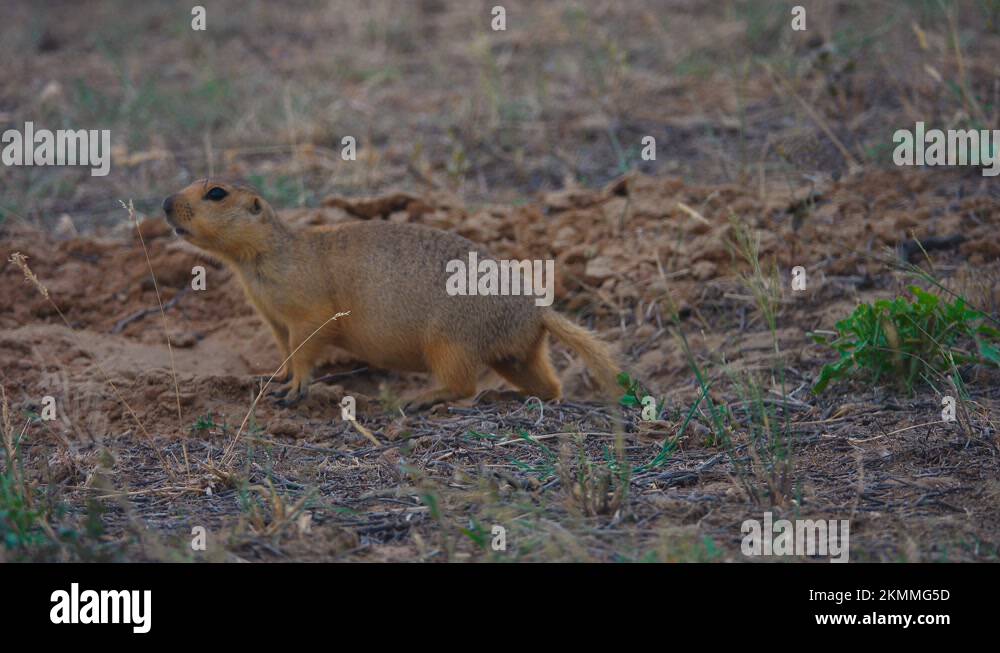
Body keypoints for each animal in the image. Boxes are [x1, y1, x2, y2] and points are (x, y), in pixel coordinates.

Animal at [162, 179, 620, 410]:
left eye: (216, 193)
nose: (165, 202)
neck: (264, 255)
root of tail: (537, 312)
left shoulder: (306, 311)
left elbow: (308, 346)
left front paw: (295, 389)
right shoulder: (273, 318)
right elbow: (286, 351)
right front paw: (276, 379)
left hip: (449, 341)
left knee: (463, 387)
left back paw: (425, 399)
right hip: (517, 356)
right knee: (550, 386)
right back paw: (509, 394)